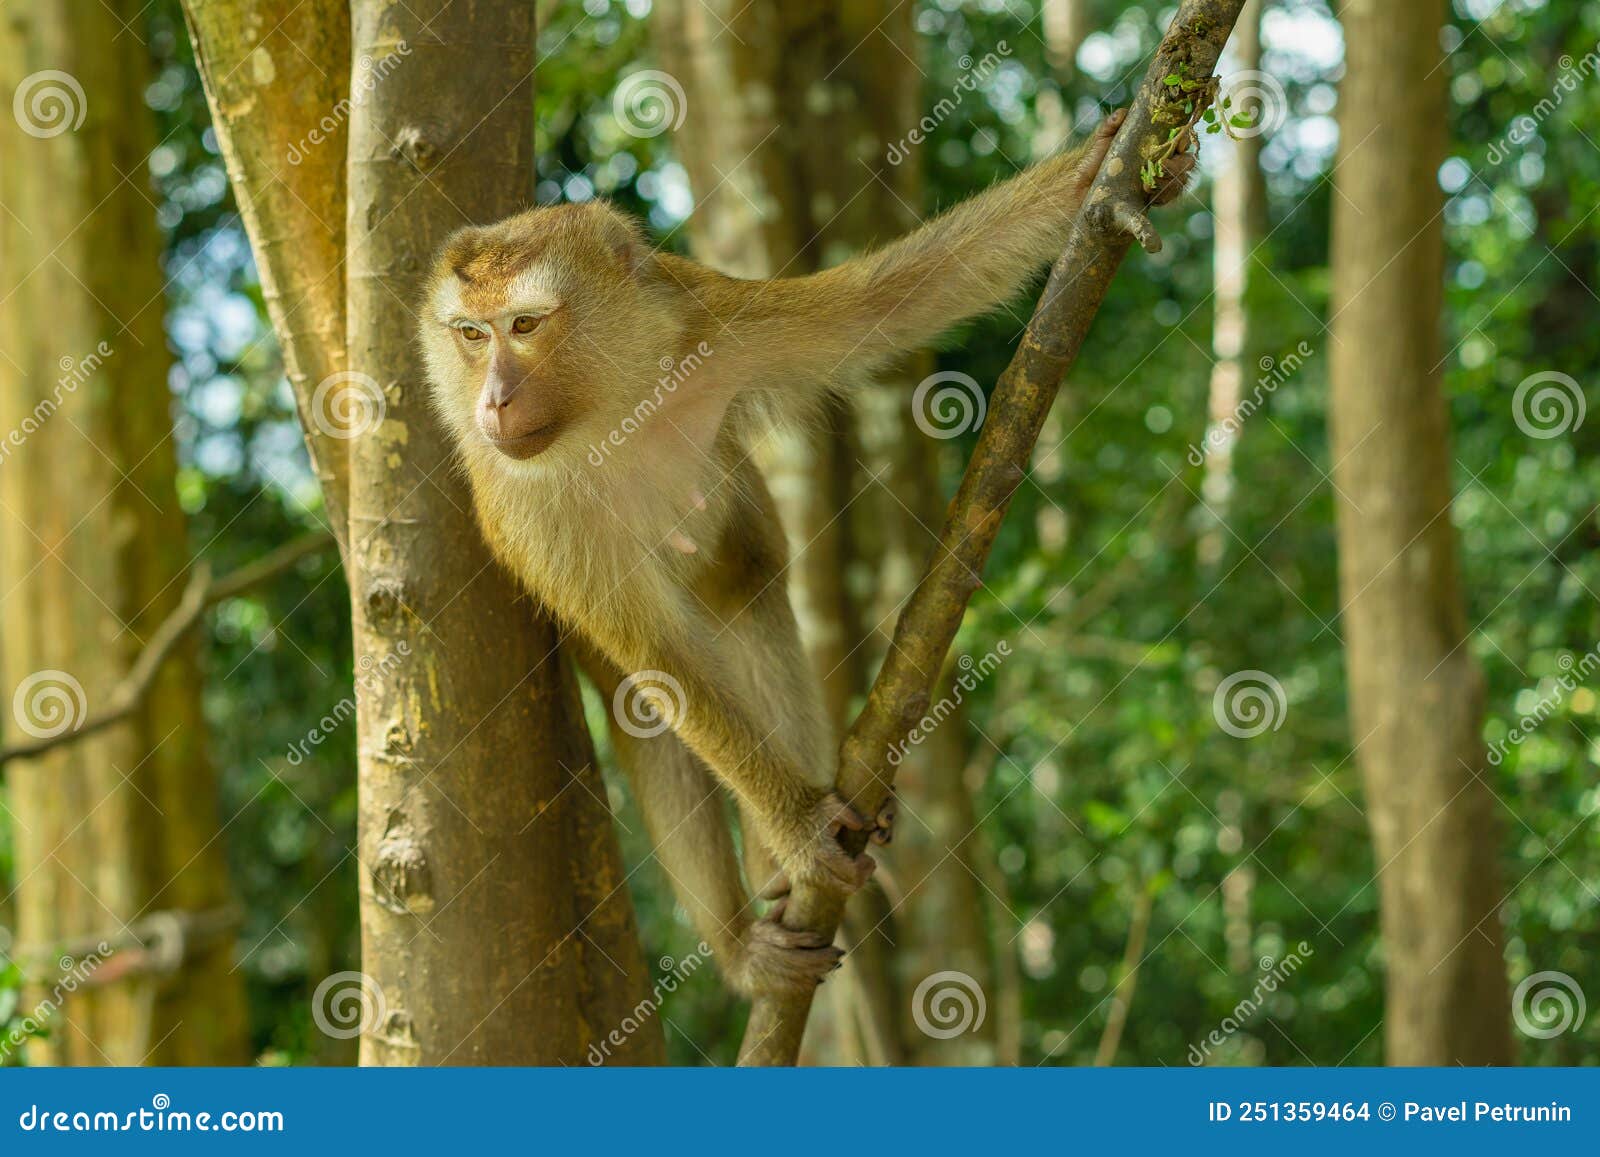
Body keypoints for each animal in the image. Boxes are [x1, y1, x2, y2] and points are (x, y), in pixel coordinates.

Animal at [419, 109, 1192, 998]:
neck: (605, 408)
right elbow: (662, 667)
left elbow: (883, 305)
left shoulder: (705, 321)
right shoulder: (526, 510)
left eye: (524, 325)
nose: (491, 401)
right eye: (469, 335)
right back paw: (743, 930)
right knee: (647, 696)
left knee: (744, 581)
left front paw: (1090, 174)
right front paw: (795, 826)